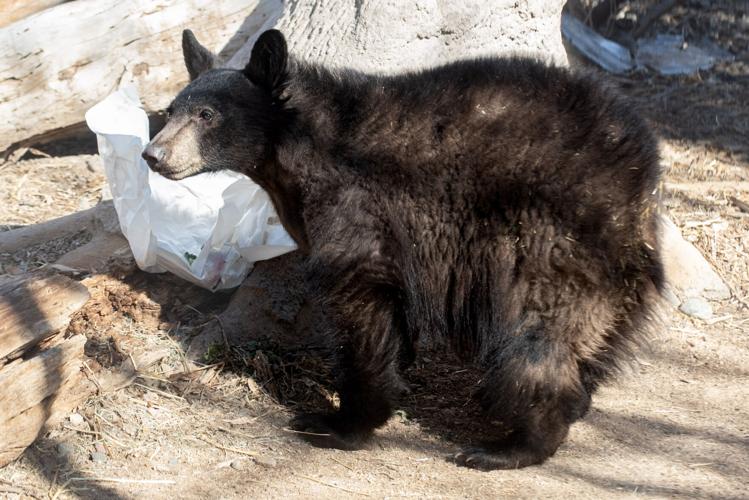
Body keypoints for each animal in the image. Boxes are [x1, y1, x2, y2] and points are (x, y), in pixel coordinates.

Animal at [142, 29, 664, 470]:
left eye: (207, 115)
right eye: (171, 111)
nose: (153, 155)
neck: (297, 147)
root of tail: (639, 175)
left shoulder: (356, 208)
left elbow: (361, 304)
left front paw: (341, 422)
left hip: (549, 240)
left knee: (537, 338)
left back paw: (510, 446)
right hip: (613, 266)